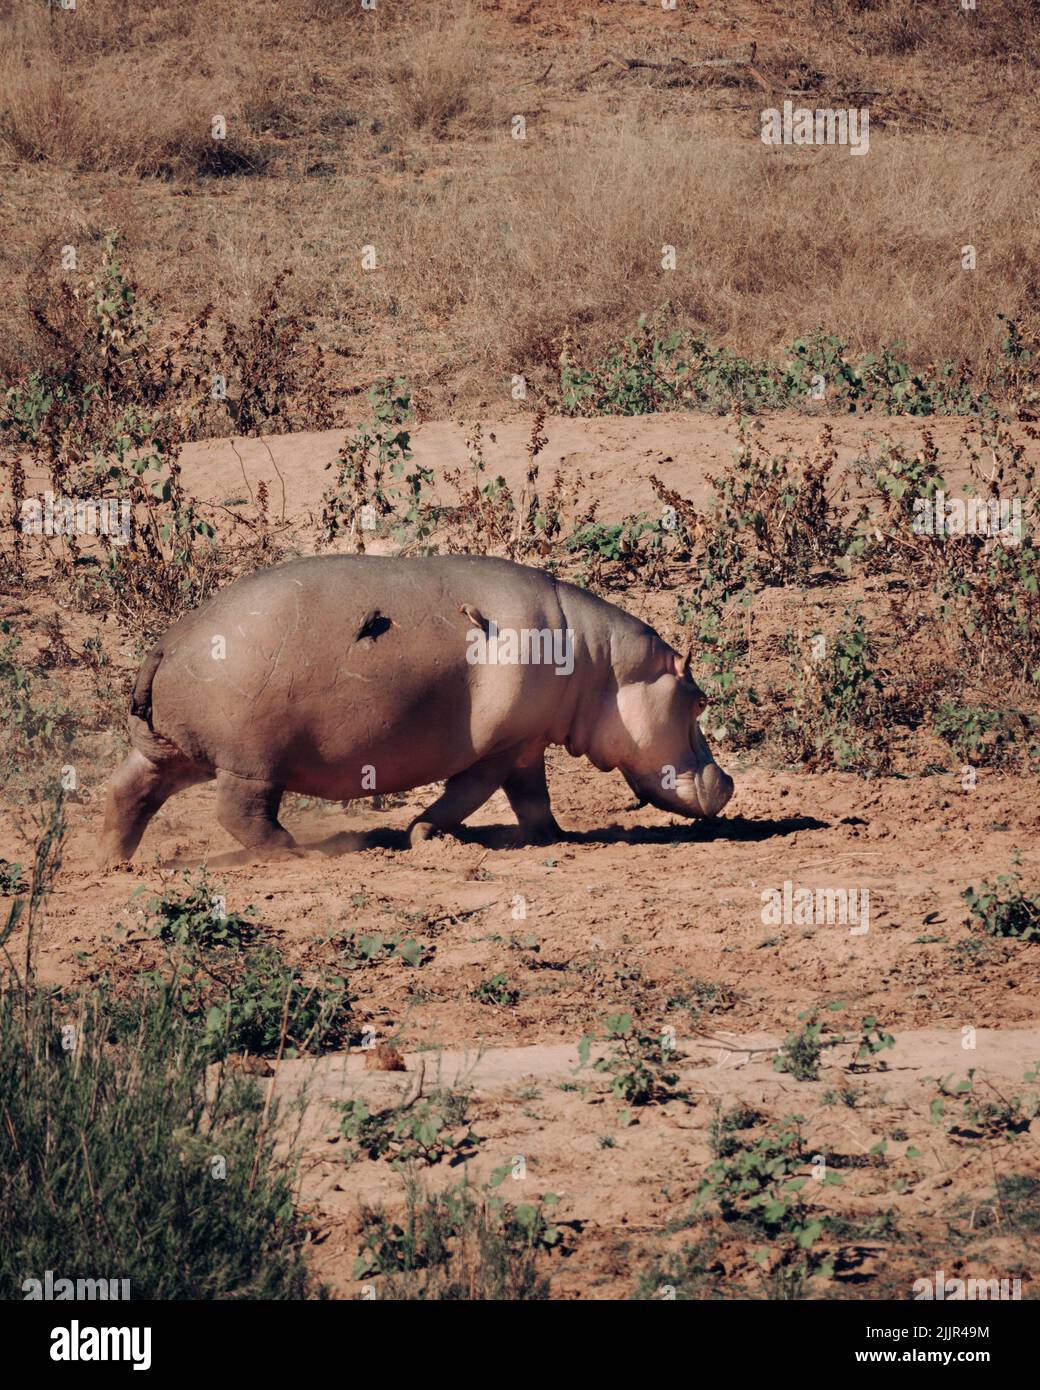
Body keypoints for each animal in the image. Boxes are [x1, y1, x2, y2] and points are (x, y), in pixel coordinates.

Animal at [98, 554, 733, 866]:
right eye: (700, 698)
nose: (728, 784)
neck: (605, 667)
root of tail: (164, 644)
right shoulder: (501, 747)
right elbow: (466, 795)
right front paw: (423, 835)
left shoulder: (527, 744)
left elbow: (533, 800)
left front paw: (556, 838)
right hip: (251, 762)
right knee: (241, 813)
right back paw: (302, 852)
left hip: (172, 752)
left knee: (129, 791)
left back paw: (115, 862)